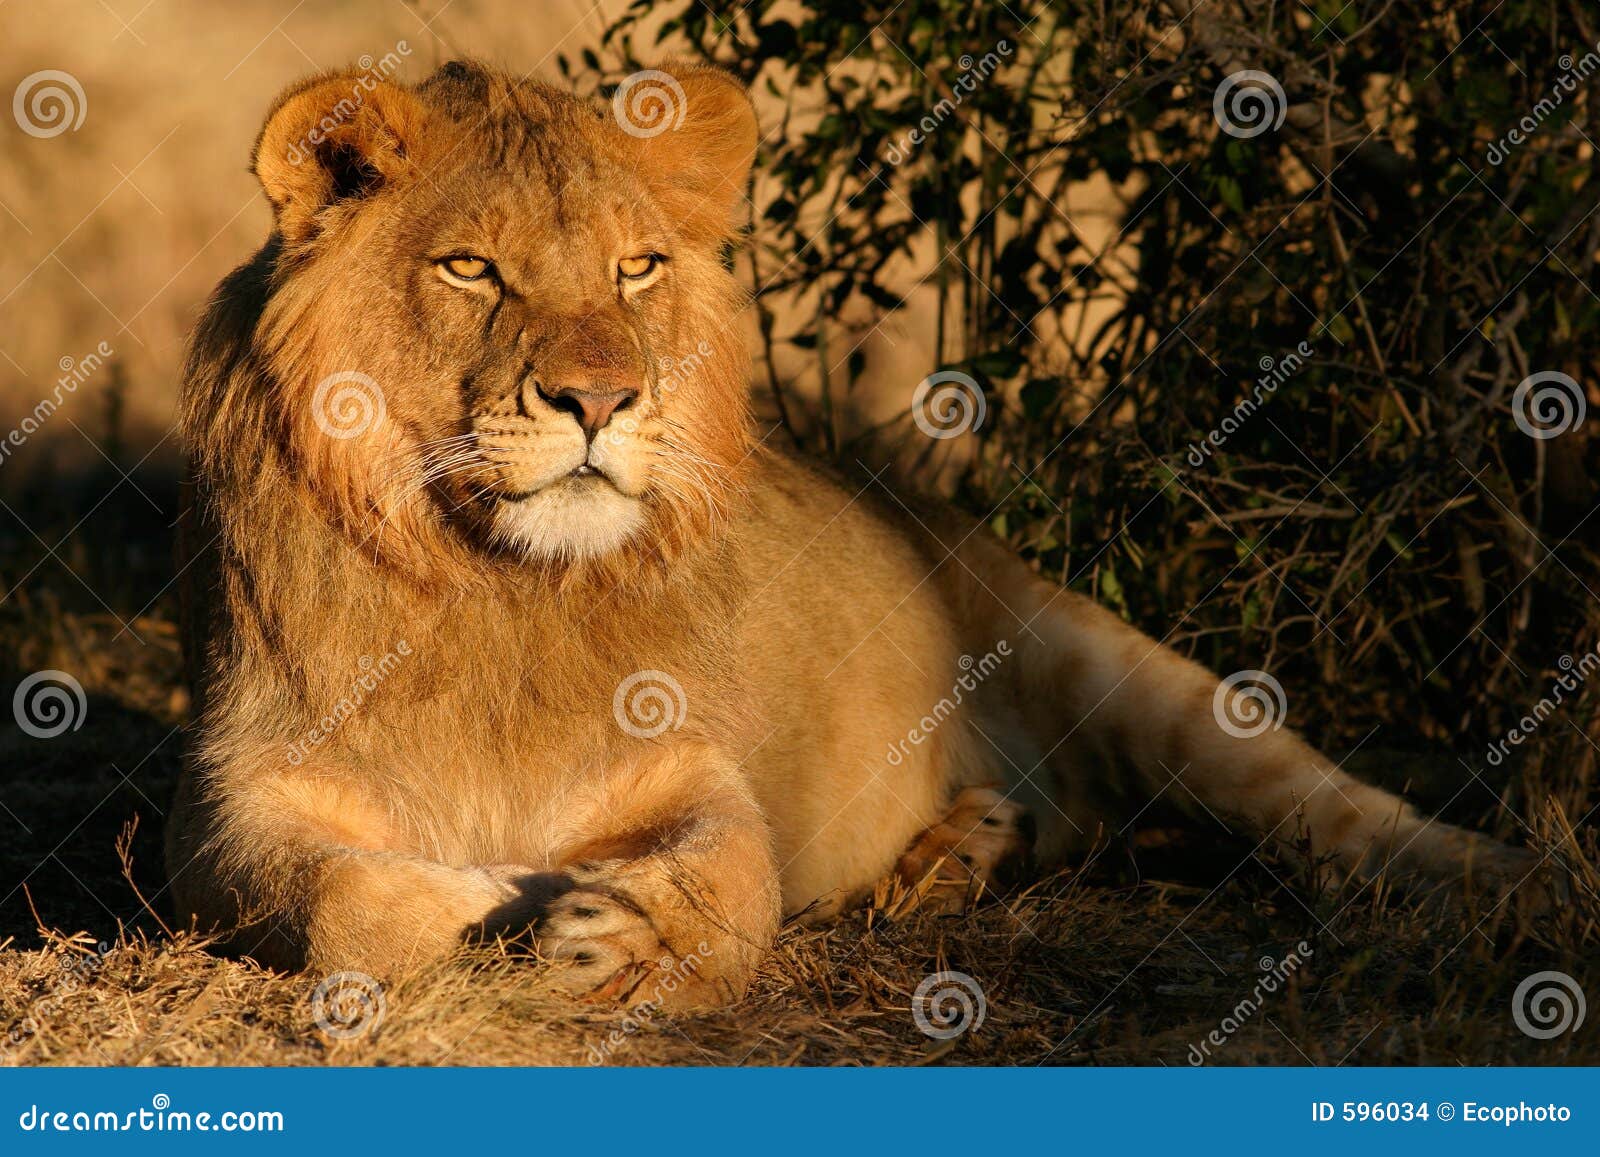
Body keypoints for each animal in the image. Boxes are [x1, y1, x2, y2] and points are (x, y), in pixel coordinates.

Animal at [168, 58, 1540, 1009]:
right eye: (469, 269)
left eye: (635, 269)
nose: (601, 398)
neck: (495, 586)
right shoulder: (241, 797)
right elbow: (340, 896)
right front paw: (495, 894)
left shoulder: (689, 765)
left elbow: (738, 870)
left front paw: (620, 931)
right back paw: (961, 848)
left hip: (1124, 670)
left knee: (1336, 808)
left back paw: (1510, 878)